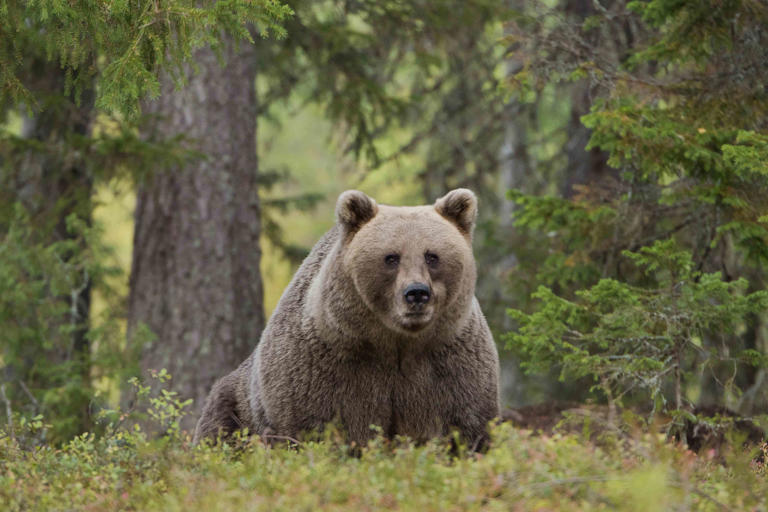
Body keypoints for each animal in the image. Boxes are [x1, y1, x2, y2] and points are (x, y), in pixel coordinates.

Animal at [193, 189, 500, 449]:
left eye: (432, 256)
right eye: (391, 257)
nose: (416, 293)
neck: (396, 342)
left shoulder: (449, 364)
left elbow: (466, 427)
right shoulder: (326, 368)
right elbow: (311, 427)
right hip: (233, 402)